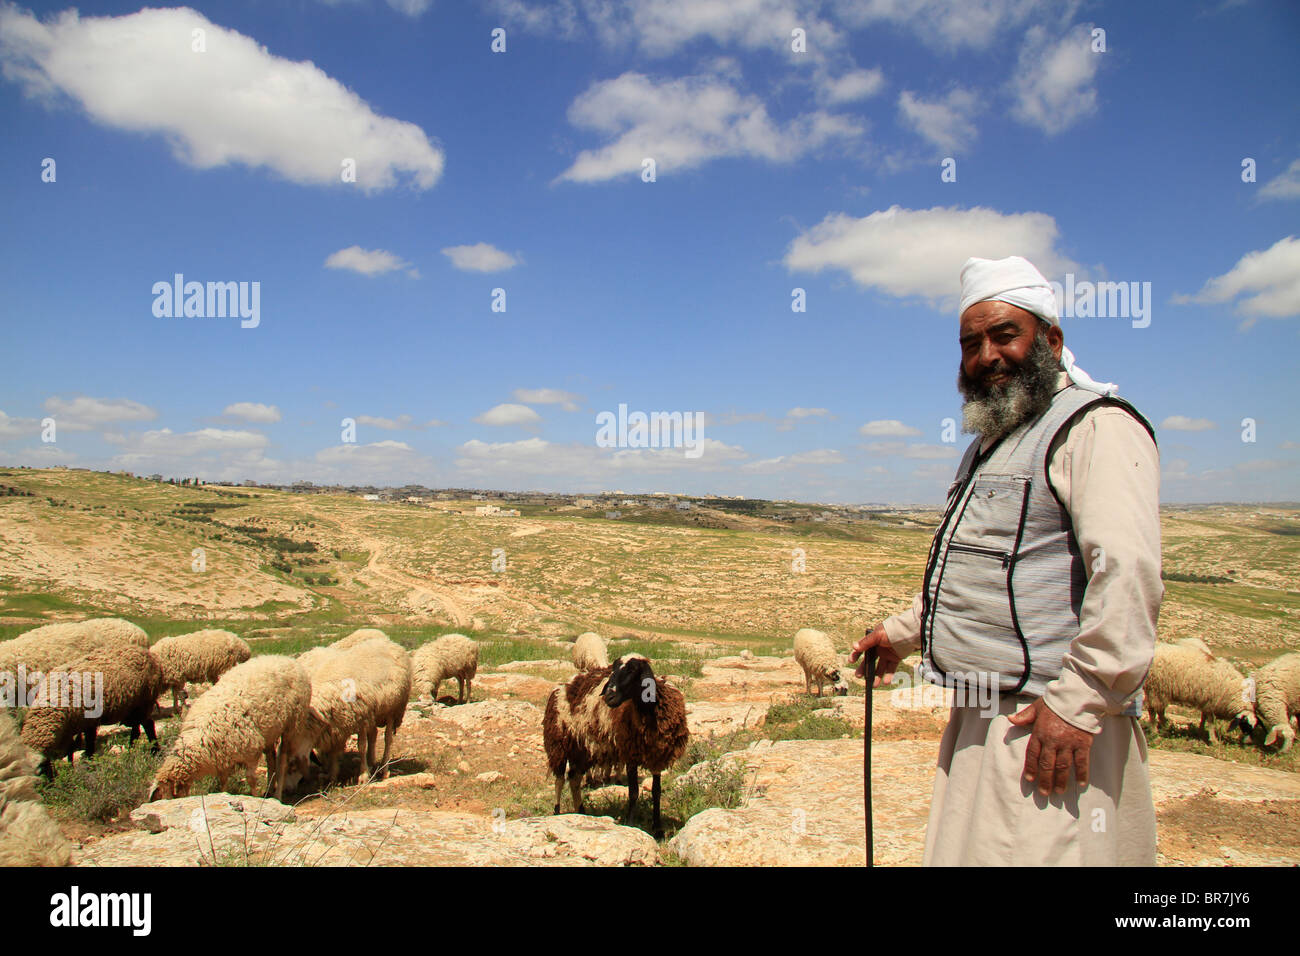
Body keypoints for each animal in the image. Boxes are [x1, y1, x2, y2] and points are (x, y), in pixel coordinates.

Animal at [20, 643, 163, 776]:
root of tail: (146, 653)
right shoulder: (71, 728)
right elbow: (70, 750)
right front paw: (71, 770)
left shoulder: (89, 721)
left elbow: (89, 745)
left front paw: (88, 766)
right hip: (131, 709)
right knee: (136, 729)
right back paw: (131, 752)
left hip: (143, 702)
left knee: (148, 725)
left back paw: (155, 752)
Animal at [150, 655, 311, 802]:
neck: (200, 738)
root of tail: (286, 659)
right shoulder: (222, 757)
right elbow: (223, 780)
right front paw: (224, 795)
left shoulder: (251, 751)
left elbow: (251, 779)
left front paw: (254, 797)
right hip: (270, 731)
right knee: (271, 758)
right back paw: (269, 789)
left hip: (291, 725)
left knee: (282, 760)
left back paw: (277, 795)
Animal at [286, 637, 411, 787]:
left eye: (292, 764)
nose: (288, 789)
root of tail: (391, 643)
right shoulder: (336, 724)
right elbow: (334, 750)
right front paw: (332, 776)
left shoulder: (362, 716)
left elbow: (361, 747)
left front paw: (363, 776)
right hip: (375, 714)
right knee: (373, 734)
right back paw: (372, 762)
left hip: (393, 710)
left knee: (387, 739)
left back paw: (384, 769)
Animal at [543, 653, 690, 838]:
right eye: (613, 670)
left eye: (633, 670)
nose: (608, 697)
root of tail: (565, 685)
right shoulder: (631, 754)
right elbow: (633, 792)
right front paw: (631, 823)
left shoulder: (657, 757)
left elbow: (656, 792)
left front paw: (658, 829)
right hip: (558, 743)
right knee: (560, 779)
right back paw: (557, 811)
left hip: (582, 749)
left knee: (574, 778)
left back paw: (581, 811)